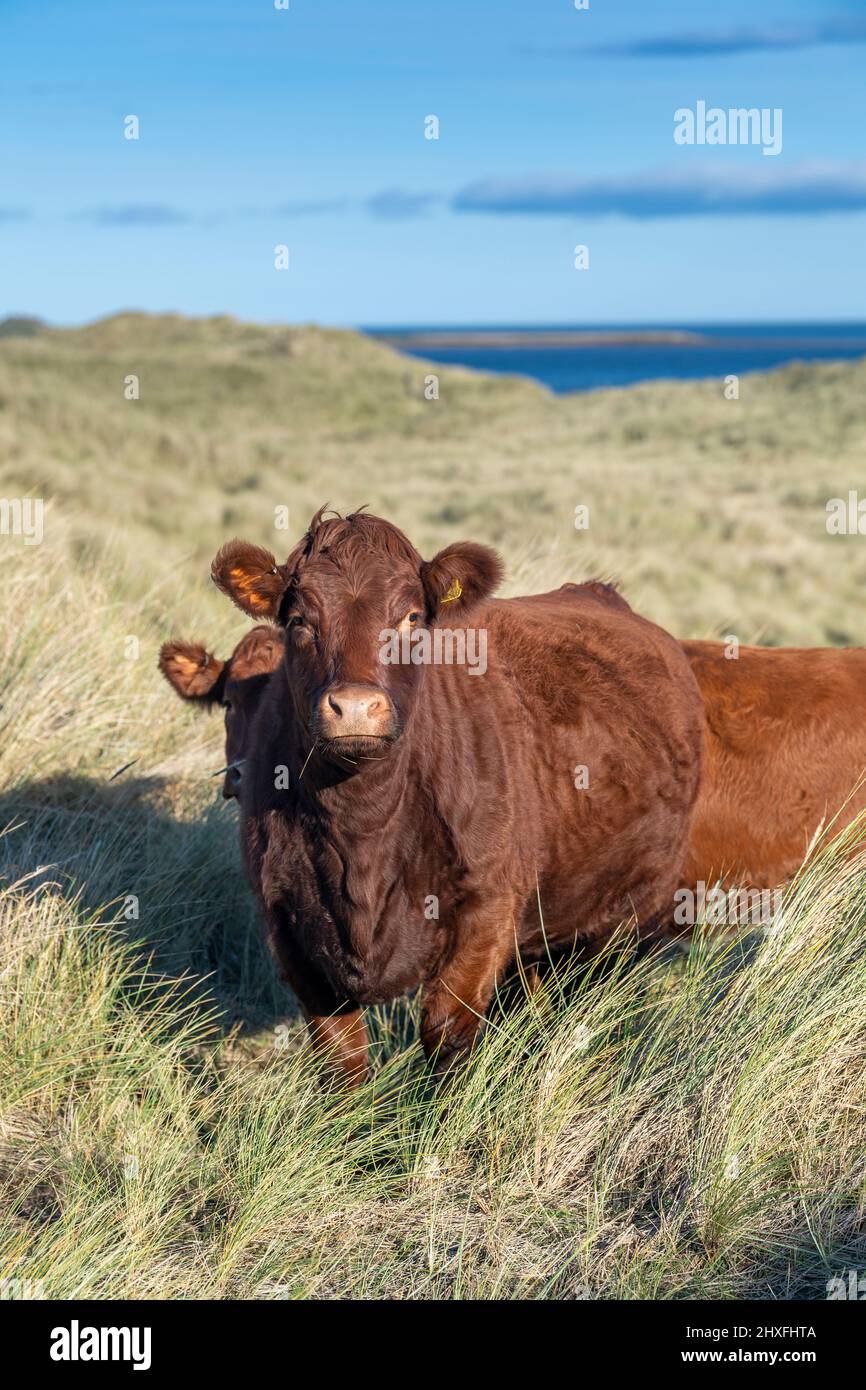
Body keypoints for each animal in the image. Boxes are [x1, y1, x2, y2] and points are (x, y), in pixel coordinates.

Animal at [204, 508, 705, 1084]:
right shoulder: (288, 928)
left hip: (619, 924)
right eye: (300, 621)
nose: (355, 708)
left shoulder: (486, 912)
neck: (363, 830)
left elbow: (447, 1038)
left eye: (412, 618)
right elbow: (341, 1061)